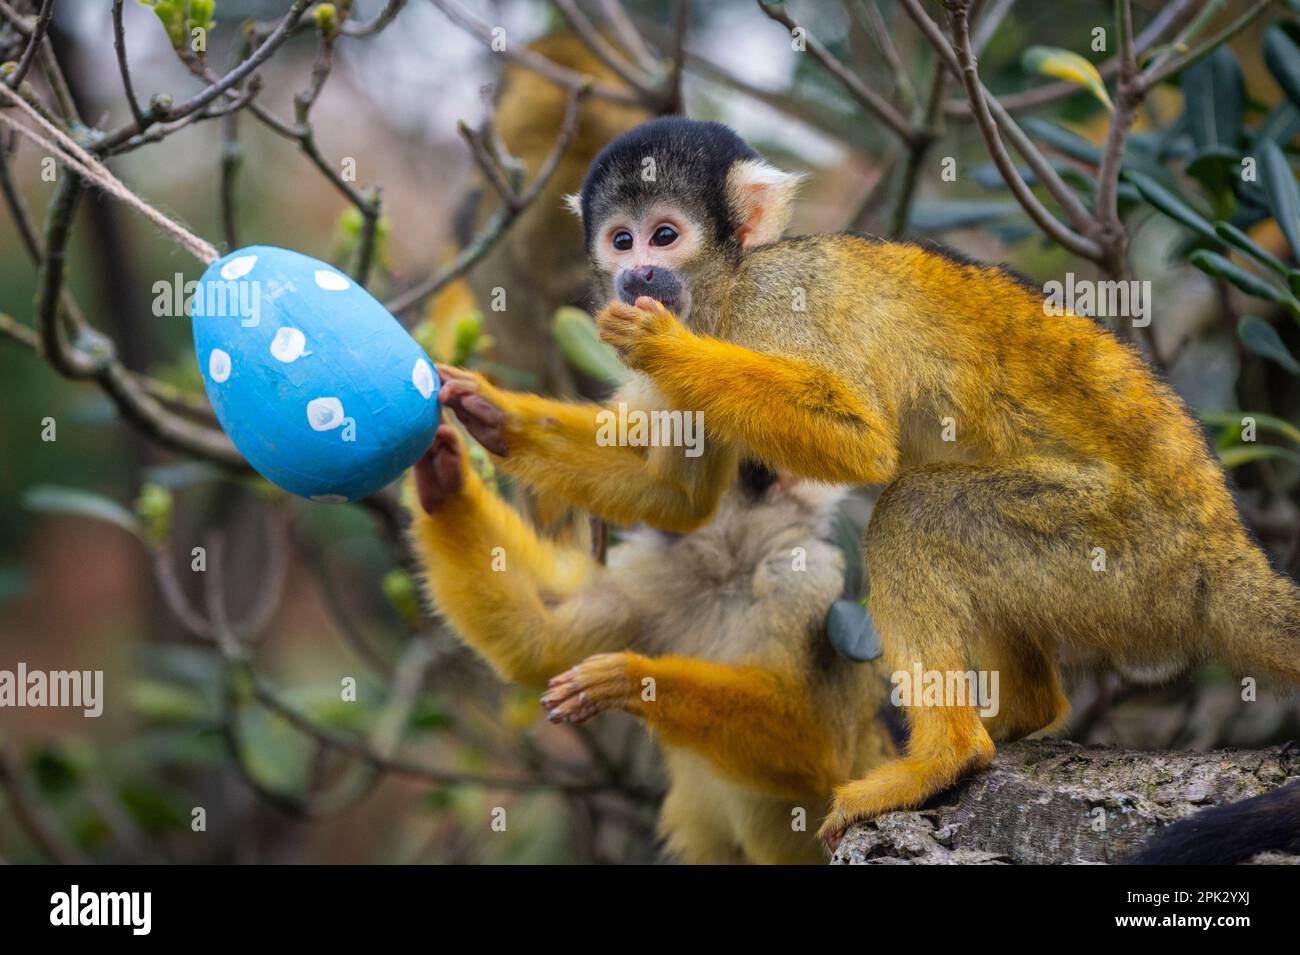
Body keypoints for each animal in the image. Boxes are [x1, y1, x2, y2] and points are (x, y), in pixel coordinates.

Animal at [408, 424, 896, 864]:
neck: (729, 571)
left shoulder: (806, 582)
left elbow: (819, 744)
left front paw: (632, 680)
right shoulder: (655, 579)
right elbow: (539, 643)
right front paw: (444, 479)